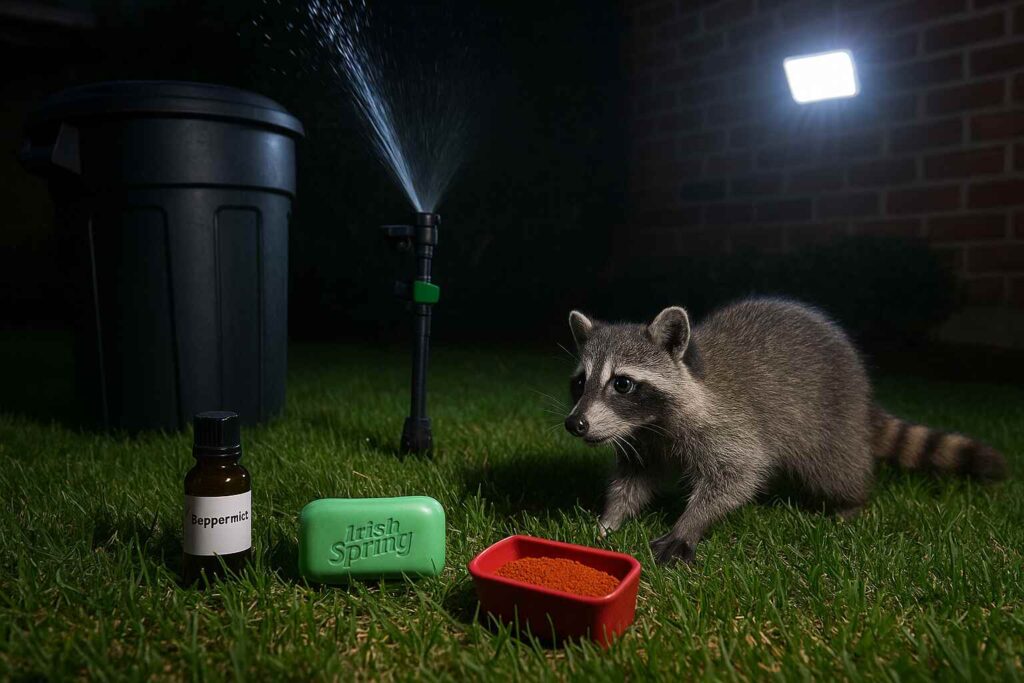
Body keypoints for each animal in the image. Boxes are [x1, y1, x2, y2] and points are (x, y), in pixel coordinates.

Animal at [563, 298, 1008, 565]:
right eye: (580, 382)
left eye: (622, 384)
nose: (575, 424)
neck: (652, 421)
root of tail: (864, 396)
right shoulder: (645, 440)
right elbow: (634, 480)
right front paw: (610, 519)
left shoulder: (728, 425)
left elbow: (737, 476)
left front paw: (689, 525)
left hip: (828, 422)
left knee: (835, 470)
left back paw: (853, 500)